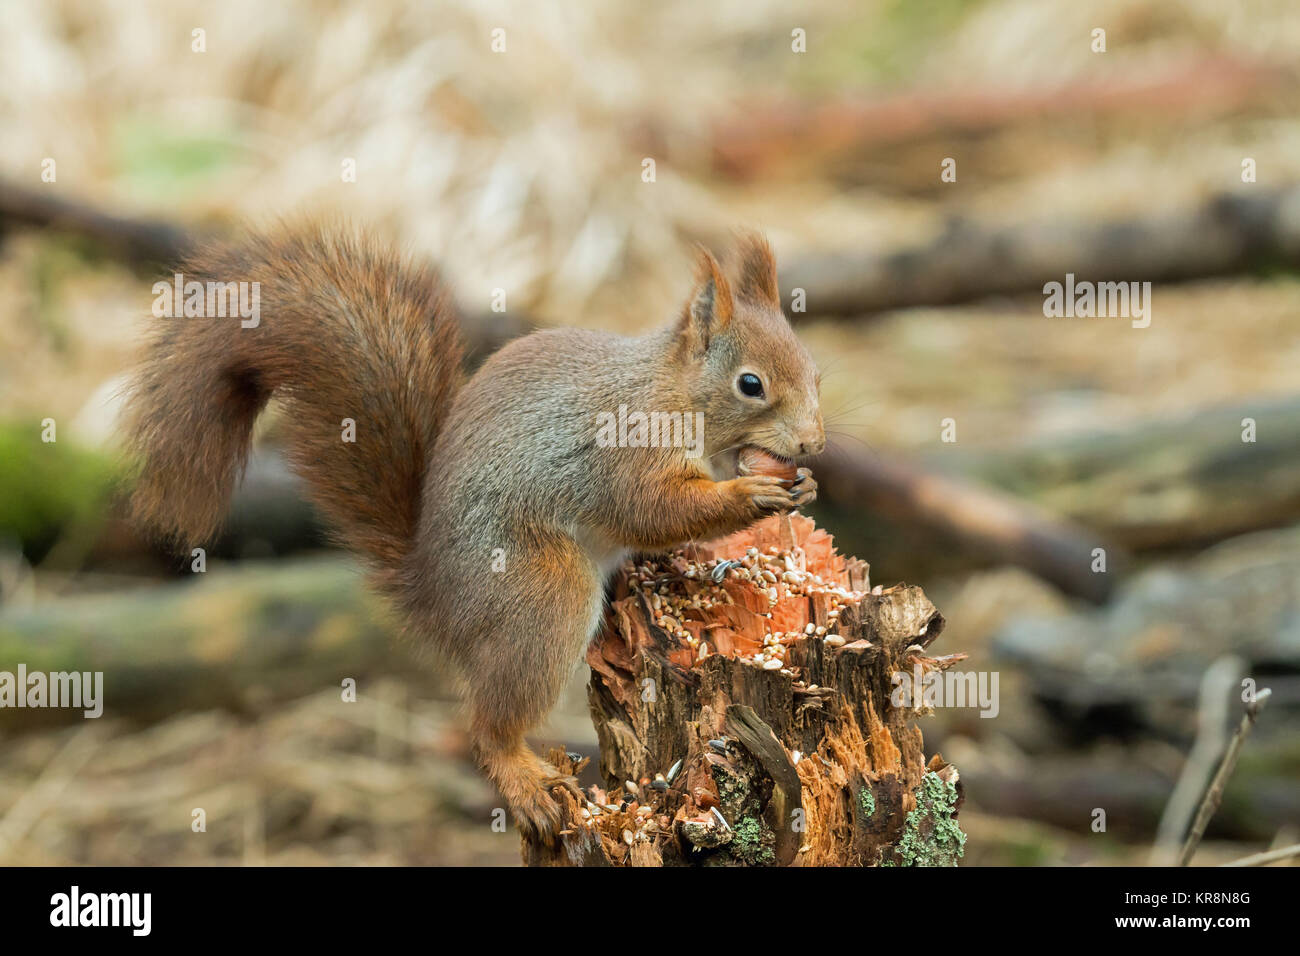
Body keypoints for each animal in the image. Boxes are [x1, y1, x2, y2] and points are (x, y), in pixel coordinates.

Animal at [124, 223, 825, 840]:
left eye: (816, 372)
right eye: (751, 384)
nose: (814, 443)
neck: (675, 394)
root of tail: (430, 593)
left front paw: (800, 490)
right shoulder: (623, 450)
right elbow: (652, 509)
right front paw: (750, 496)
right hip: (541, 593)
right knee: (490, 725)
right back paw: (523, 779)